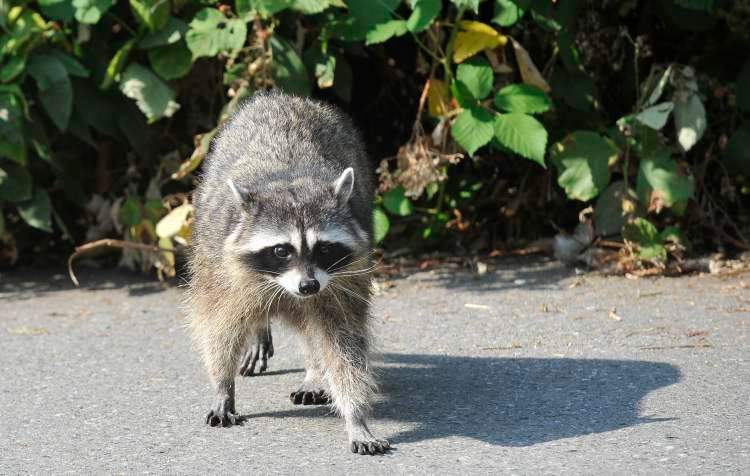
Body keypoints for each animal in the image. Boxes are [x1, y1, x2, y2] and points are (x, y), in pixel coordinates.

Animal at [186, 91, 389, 455]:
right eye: (282, 251)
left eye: (324, 248)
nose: (308, 285)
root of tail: (283, 97)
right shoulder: (220, 270)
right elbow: (220, 329)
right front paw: (223, 385)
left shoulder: (345, 280)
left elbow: (343, 345)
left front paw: (356, 415)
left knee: (314, 329)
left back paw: (314, 373)